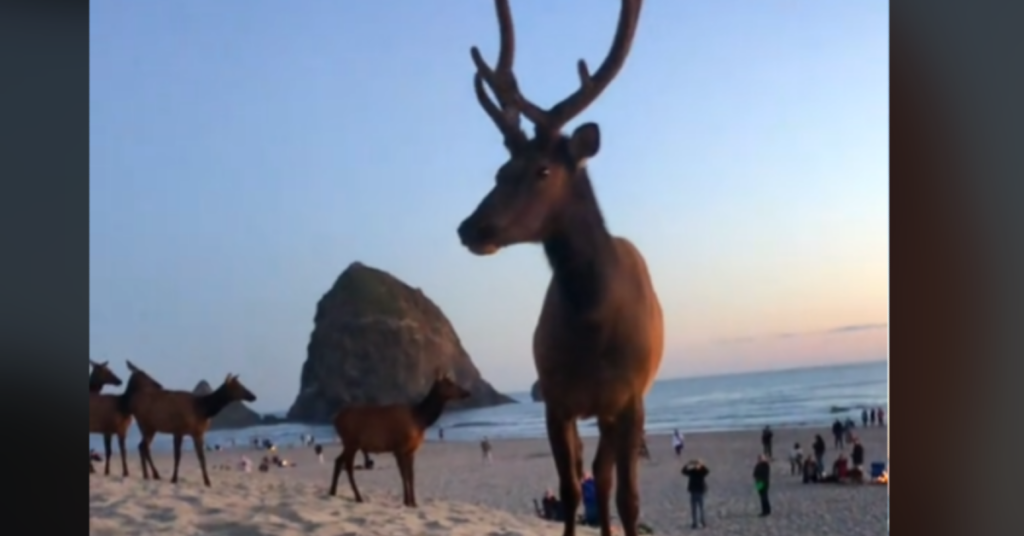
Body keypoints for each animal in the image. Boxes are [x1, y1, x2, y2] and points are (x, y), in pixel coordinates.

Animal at [128, 370, 256, 487]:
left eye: (241, 384)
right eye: (237, 386)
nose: (253, 396)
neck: (204, 410)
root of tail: (133, 406)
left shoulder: (198, 433)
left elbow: (201, 457)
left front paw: (207, 481)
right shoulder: (179, 431)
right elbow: (178, 456)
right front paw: (174, 479)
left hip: (150, 428)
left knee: (142, 446)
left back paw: (147, 474)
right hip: (146, 425)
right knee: (143, 446)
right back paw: (153, 474)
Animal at [328, 370, 470, 507]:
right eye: (450, 383)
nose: (467, 392)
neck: (420, 420)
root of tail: (335, 419)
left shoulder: (411, 450)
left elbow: (411, 476)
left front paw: (413, 502)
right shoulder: (399, 448)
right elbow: (403, 475)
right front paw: (406, 501)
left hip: (348, 444)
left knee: (338, 460)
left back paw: (332, 491)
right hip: (351, 442)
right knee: (348, 466)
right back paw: (358, 497)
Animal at [456, 1, 662, 535]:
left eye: (543, 170)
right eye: (500, 171)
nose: (469, 227)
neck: (594, 323)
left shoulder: (630, 401)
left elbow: (630, 498)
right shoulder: (556, 398)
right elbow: (569, 491)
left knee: (606, 481)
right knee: (592, 477)